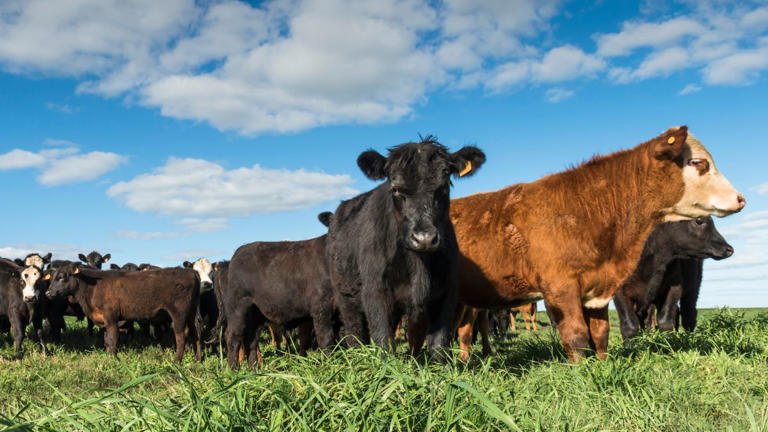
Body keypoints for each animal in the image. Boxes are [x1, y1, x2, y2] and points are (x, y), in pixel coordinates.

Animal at [46, 263, 202, 362]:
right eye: (52, 278)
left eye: (62, 277)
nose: (48, 293)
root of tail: (191, 271)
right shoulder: (104, 320)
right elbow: (106, 340)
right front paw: (108, 357)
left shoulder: (111, 317)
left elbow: (112, 338)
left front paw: (114, 359)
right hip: (191, 312)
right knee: (195, 333)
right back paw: (198, 359)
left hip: (179, 313)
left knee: (181, 336)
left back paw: (177, 361)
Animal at [224, 213, 337, 368]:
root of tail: (239, 251)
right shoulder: (321, 306)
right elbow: (326, 339)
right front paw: (332, 366)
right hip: (238, 306)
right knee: (233, 336)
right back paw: (233, 369)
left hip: (256, 313)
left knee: (251, 339)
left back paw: (254, 369)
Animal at [326, 136, 486, 357]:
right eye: (395, 188)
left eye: (444, 186)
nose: (424, 238)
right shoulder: (375, 290)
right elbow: (383, 340)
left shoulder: (447, 292)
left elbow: (438, 343)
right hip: (345, 294)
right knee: (354, 331)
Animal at [613, 217, 732, 345]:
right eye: (699, 220)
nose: (729, 249)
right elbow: (630, 325)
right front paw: (632, 347)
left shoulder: (674, 287)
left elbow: (665, 321)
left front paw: (668, 343)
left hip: (693, 287)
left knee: (688, 313)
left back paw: (689, 337)